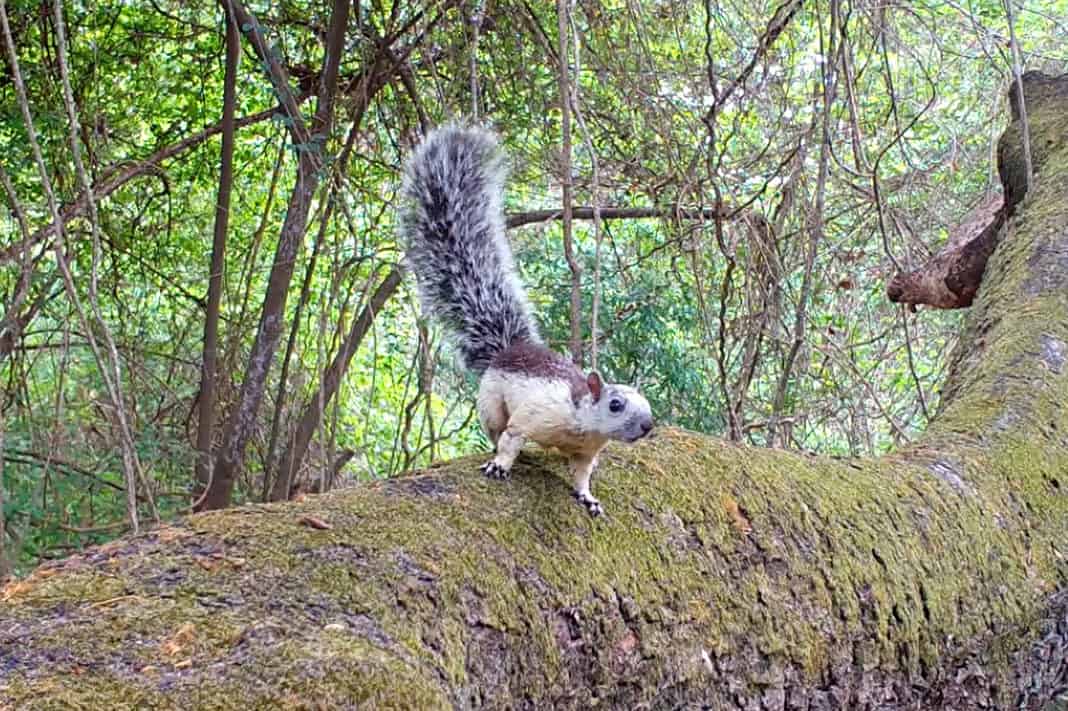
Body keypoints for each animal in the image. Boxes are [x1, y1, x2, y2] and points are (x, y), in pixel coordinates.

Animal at [399, 124, 654, 517]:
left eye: (648, 403)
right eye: (615, 404)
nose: (647, 425)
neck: (581, 424)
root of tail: (509, 348)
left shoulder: (586, 454)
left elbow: (582, 475)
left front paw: (588, 497)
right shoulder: (535, 415)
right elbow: (512, 439)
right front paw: (500, 465)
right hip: (490, 402)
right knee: (495, 429)